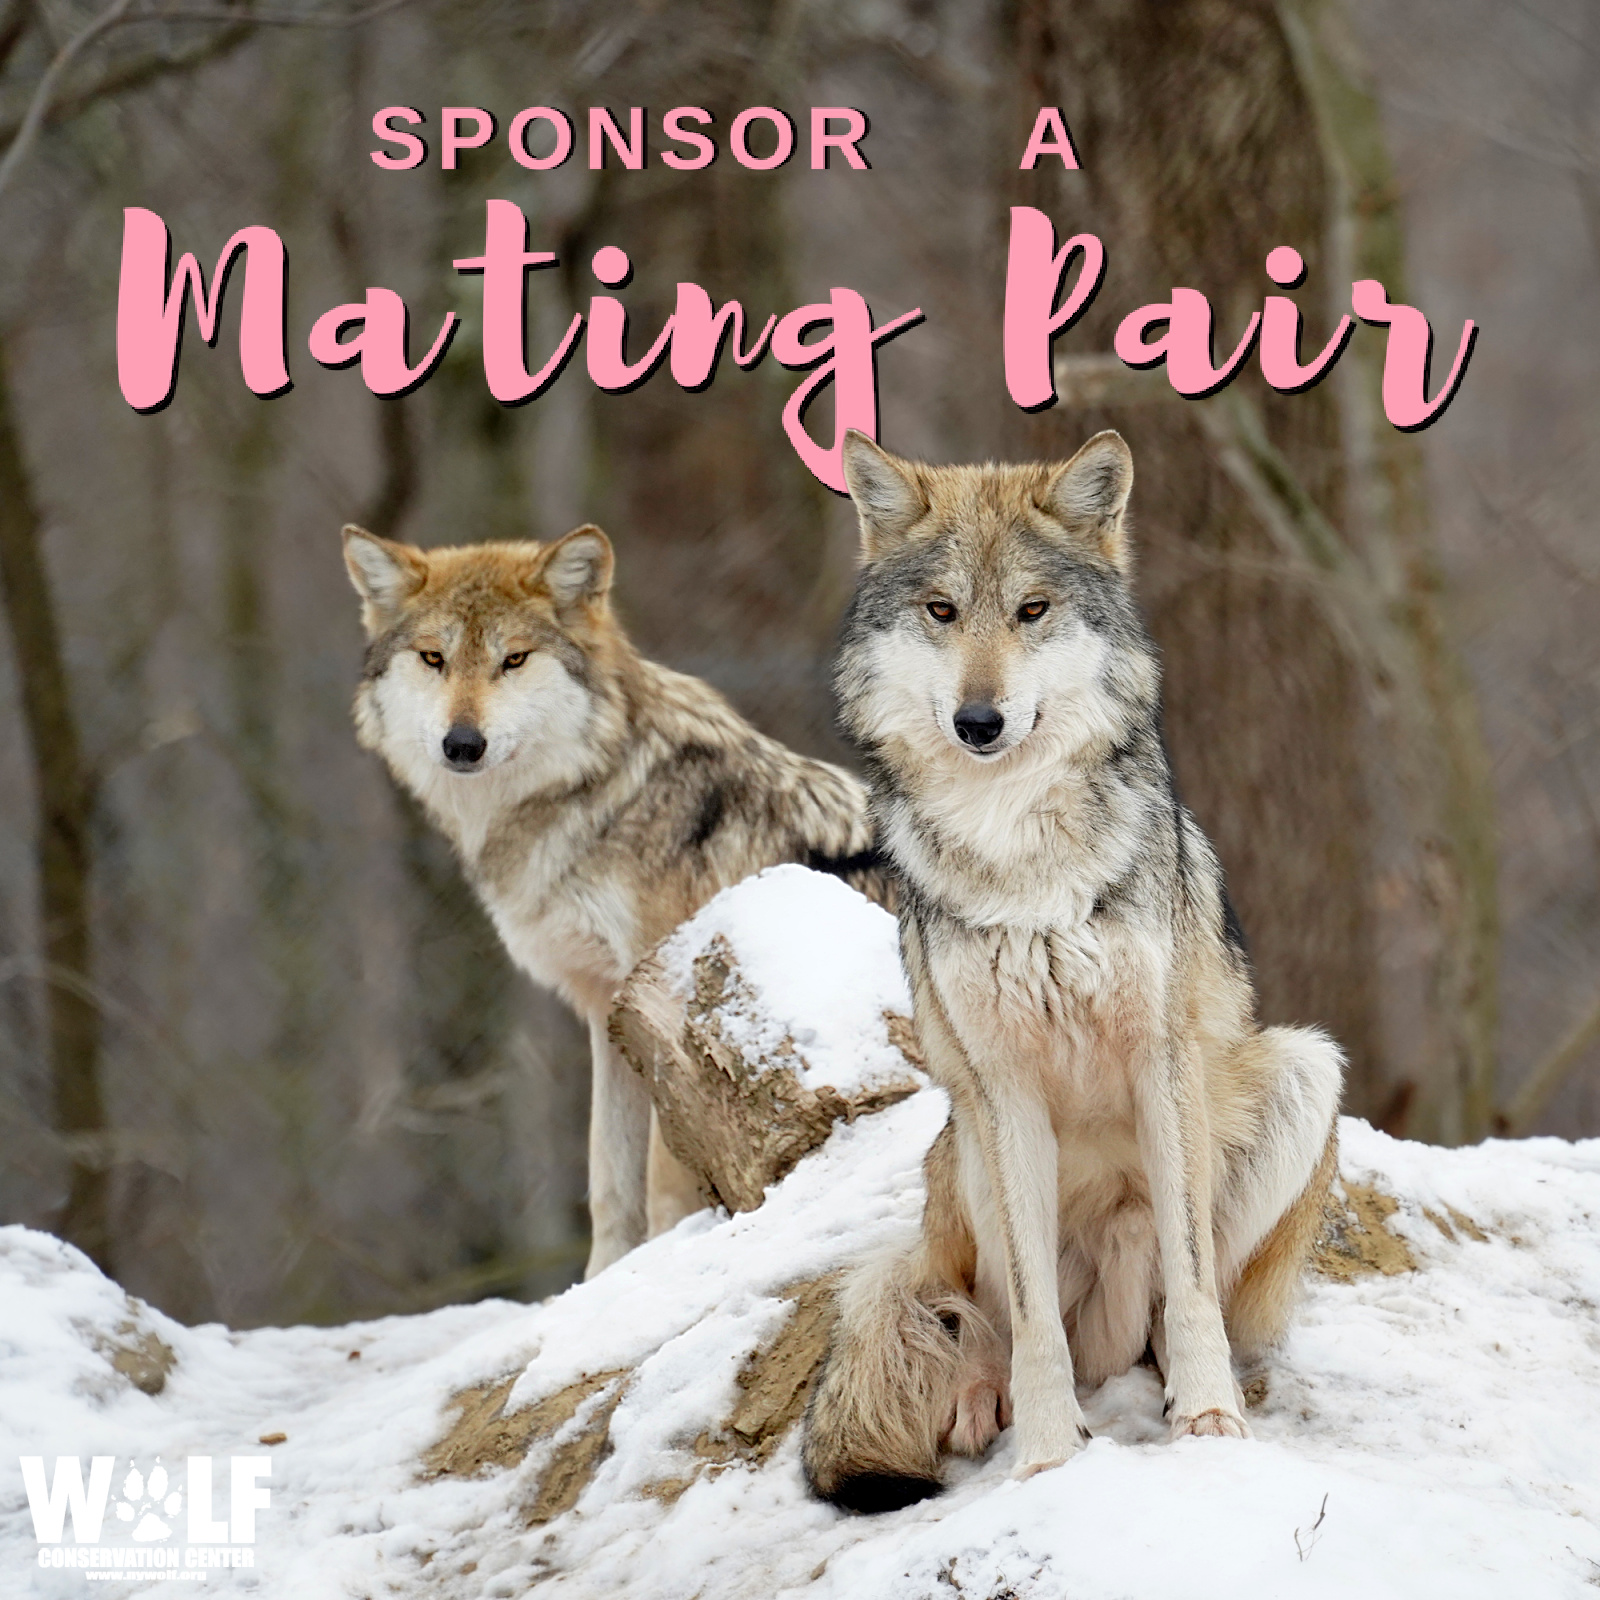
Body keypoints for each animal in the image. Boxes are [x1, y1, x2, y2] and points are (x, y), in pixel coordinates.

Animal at [342, 522, 878, 1277]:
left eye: (513, 659)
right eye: (433, 659)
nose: (462, 744)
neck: (606, 795)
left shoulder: (670, 1013)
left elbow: (662, 1185)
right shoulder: (608, 1011)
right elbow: (609, 1182)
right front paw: (601, 1287)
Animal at [802, 430, 1343, 1511]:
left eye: (1032, 610)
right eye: (942, 611)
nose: (979, 721)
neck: (1016, 847)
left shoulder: (1161, 1061)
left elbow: (1190, 1285)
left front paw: (1208, 1421)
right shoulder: (1002, 1088)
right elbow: (1033, 1325)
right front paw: (1049, 1457)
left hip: (1300, 1071)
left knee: (1167, 1309)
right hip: (968, 1146)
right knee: (986, 1321)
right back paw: (985, 1401)